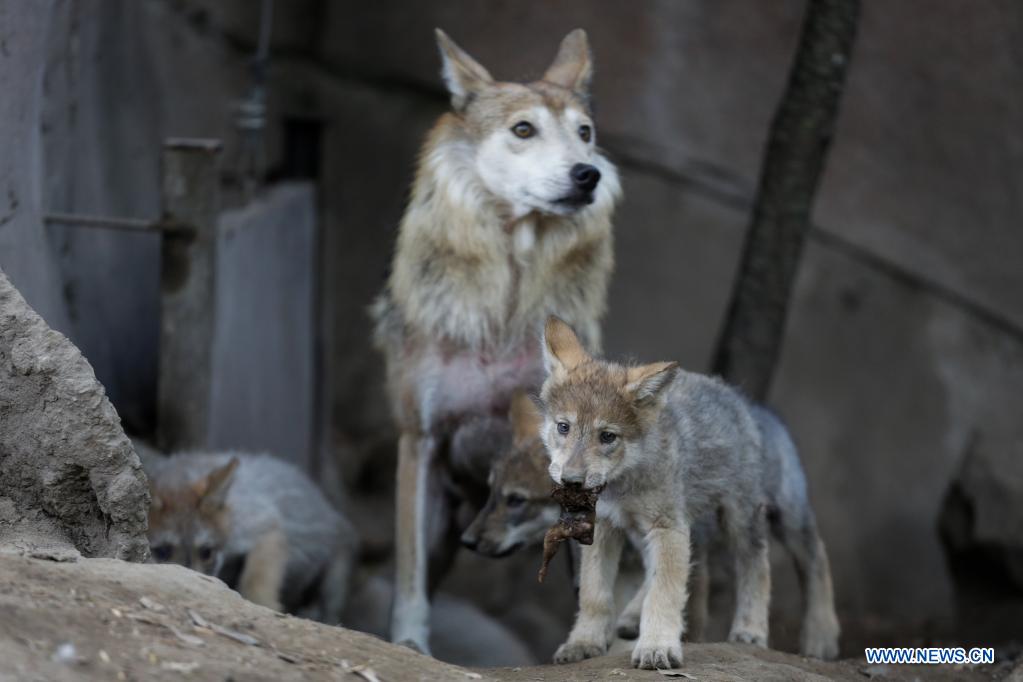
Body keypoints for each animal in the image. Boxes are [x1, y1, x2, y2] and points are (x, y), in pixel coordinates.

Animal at [372, 27, 621, 653]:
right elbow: (409, 580)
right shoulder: (422, 441)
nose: (587, 173)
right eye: (523, 130)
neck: (508, 301)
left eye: (585, 133)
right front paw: (409, 646)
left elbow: (586, 571)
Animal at [538, 317, 840, 669]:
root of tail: (740, 400)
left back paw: (781, 633)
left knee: (780, 561)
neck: (625, 484)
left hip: (748, 519)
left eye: (607, 436)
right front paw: (583, 642)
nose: (571, 480)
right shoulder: (608, 529)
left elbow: (664, 593)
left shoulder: (667, 528)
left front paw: (657, 647)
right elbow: (595, 595)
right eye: (564, 427)